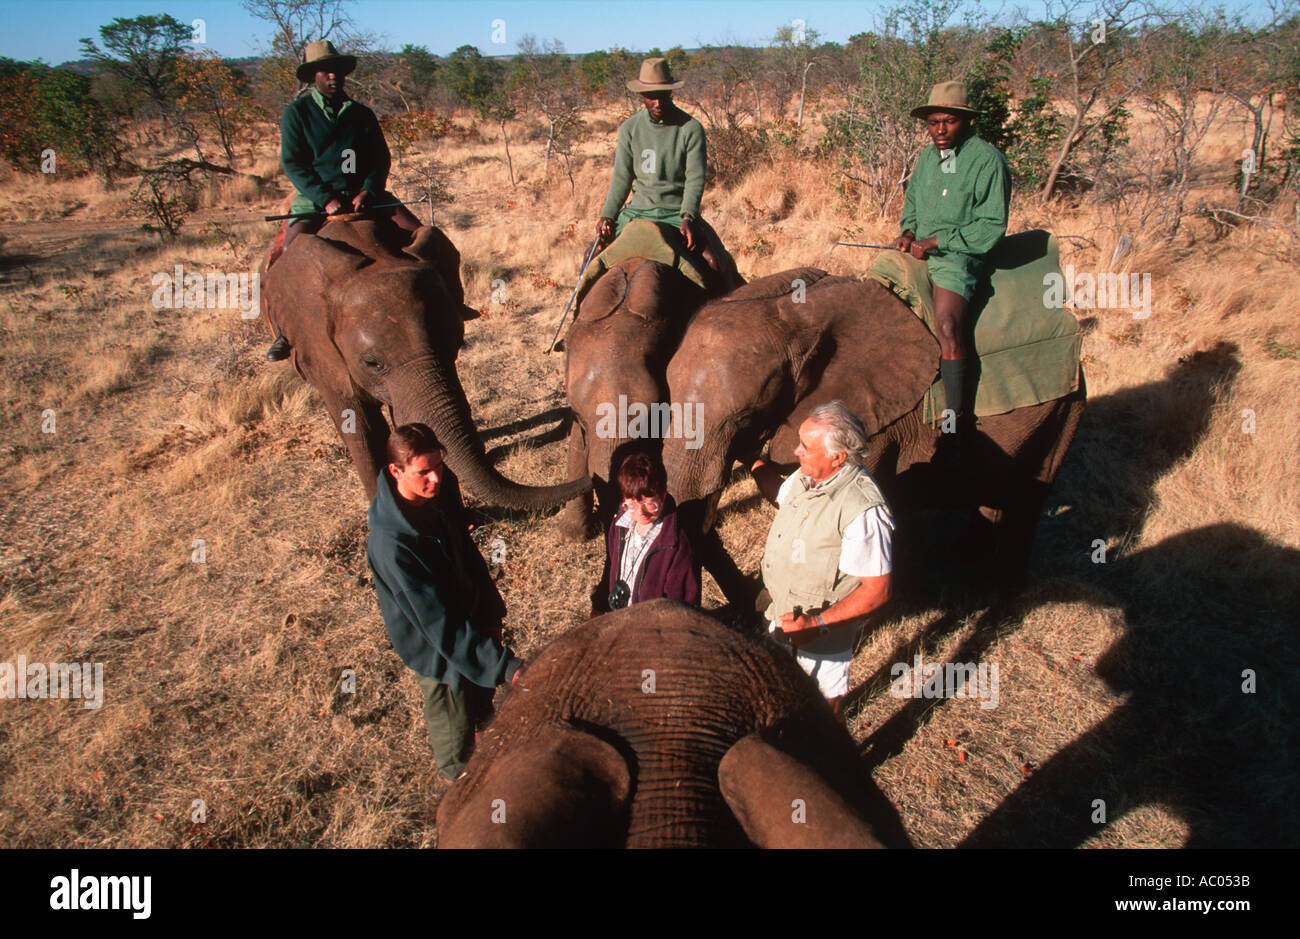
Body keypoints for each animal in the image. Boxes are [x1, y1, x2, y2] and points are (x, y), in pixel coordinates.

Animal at [661, 267, 1085, 593]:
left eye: (745, 417)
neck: (799, 309)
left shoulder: (873, 427)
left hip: (1063, 406)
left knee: (1026, 497)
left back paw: (999, 596)